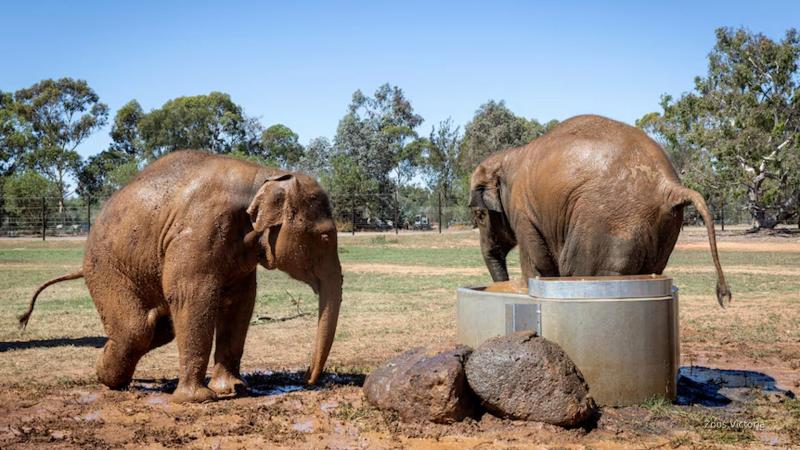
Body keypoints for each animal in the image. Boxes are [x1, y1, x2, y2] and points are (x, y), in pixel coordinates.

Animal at [18, 150, 343, 402]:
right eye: (325, 237)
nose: (307, 380)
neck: (264, 175)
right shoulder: (199, 231)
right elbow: (194, 296)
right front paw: (199, 399)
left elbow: (240, 302)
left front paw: (235, 389)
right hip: (106, 269)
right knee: (137, 328)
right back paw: (108, 380)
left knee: (158, 327)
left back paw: (108, 370)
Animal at [469, 115, 731, 306]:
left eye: (480, 216)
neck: (506, 157)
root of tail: (668, 185)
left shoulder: (523, 210)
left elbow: (538, 263)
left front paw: (521, 287)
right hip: (663, 228)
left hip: (606, 223)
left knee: (579, 269)